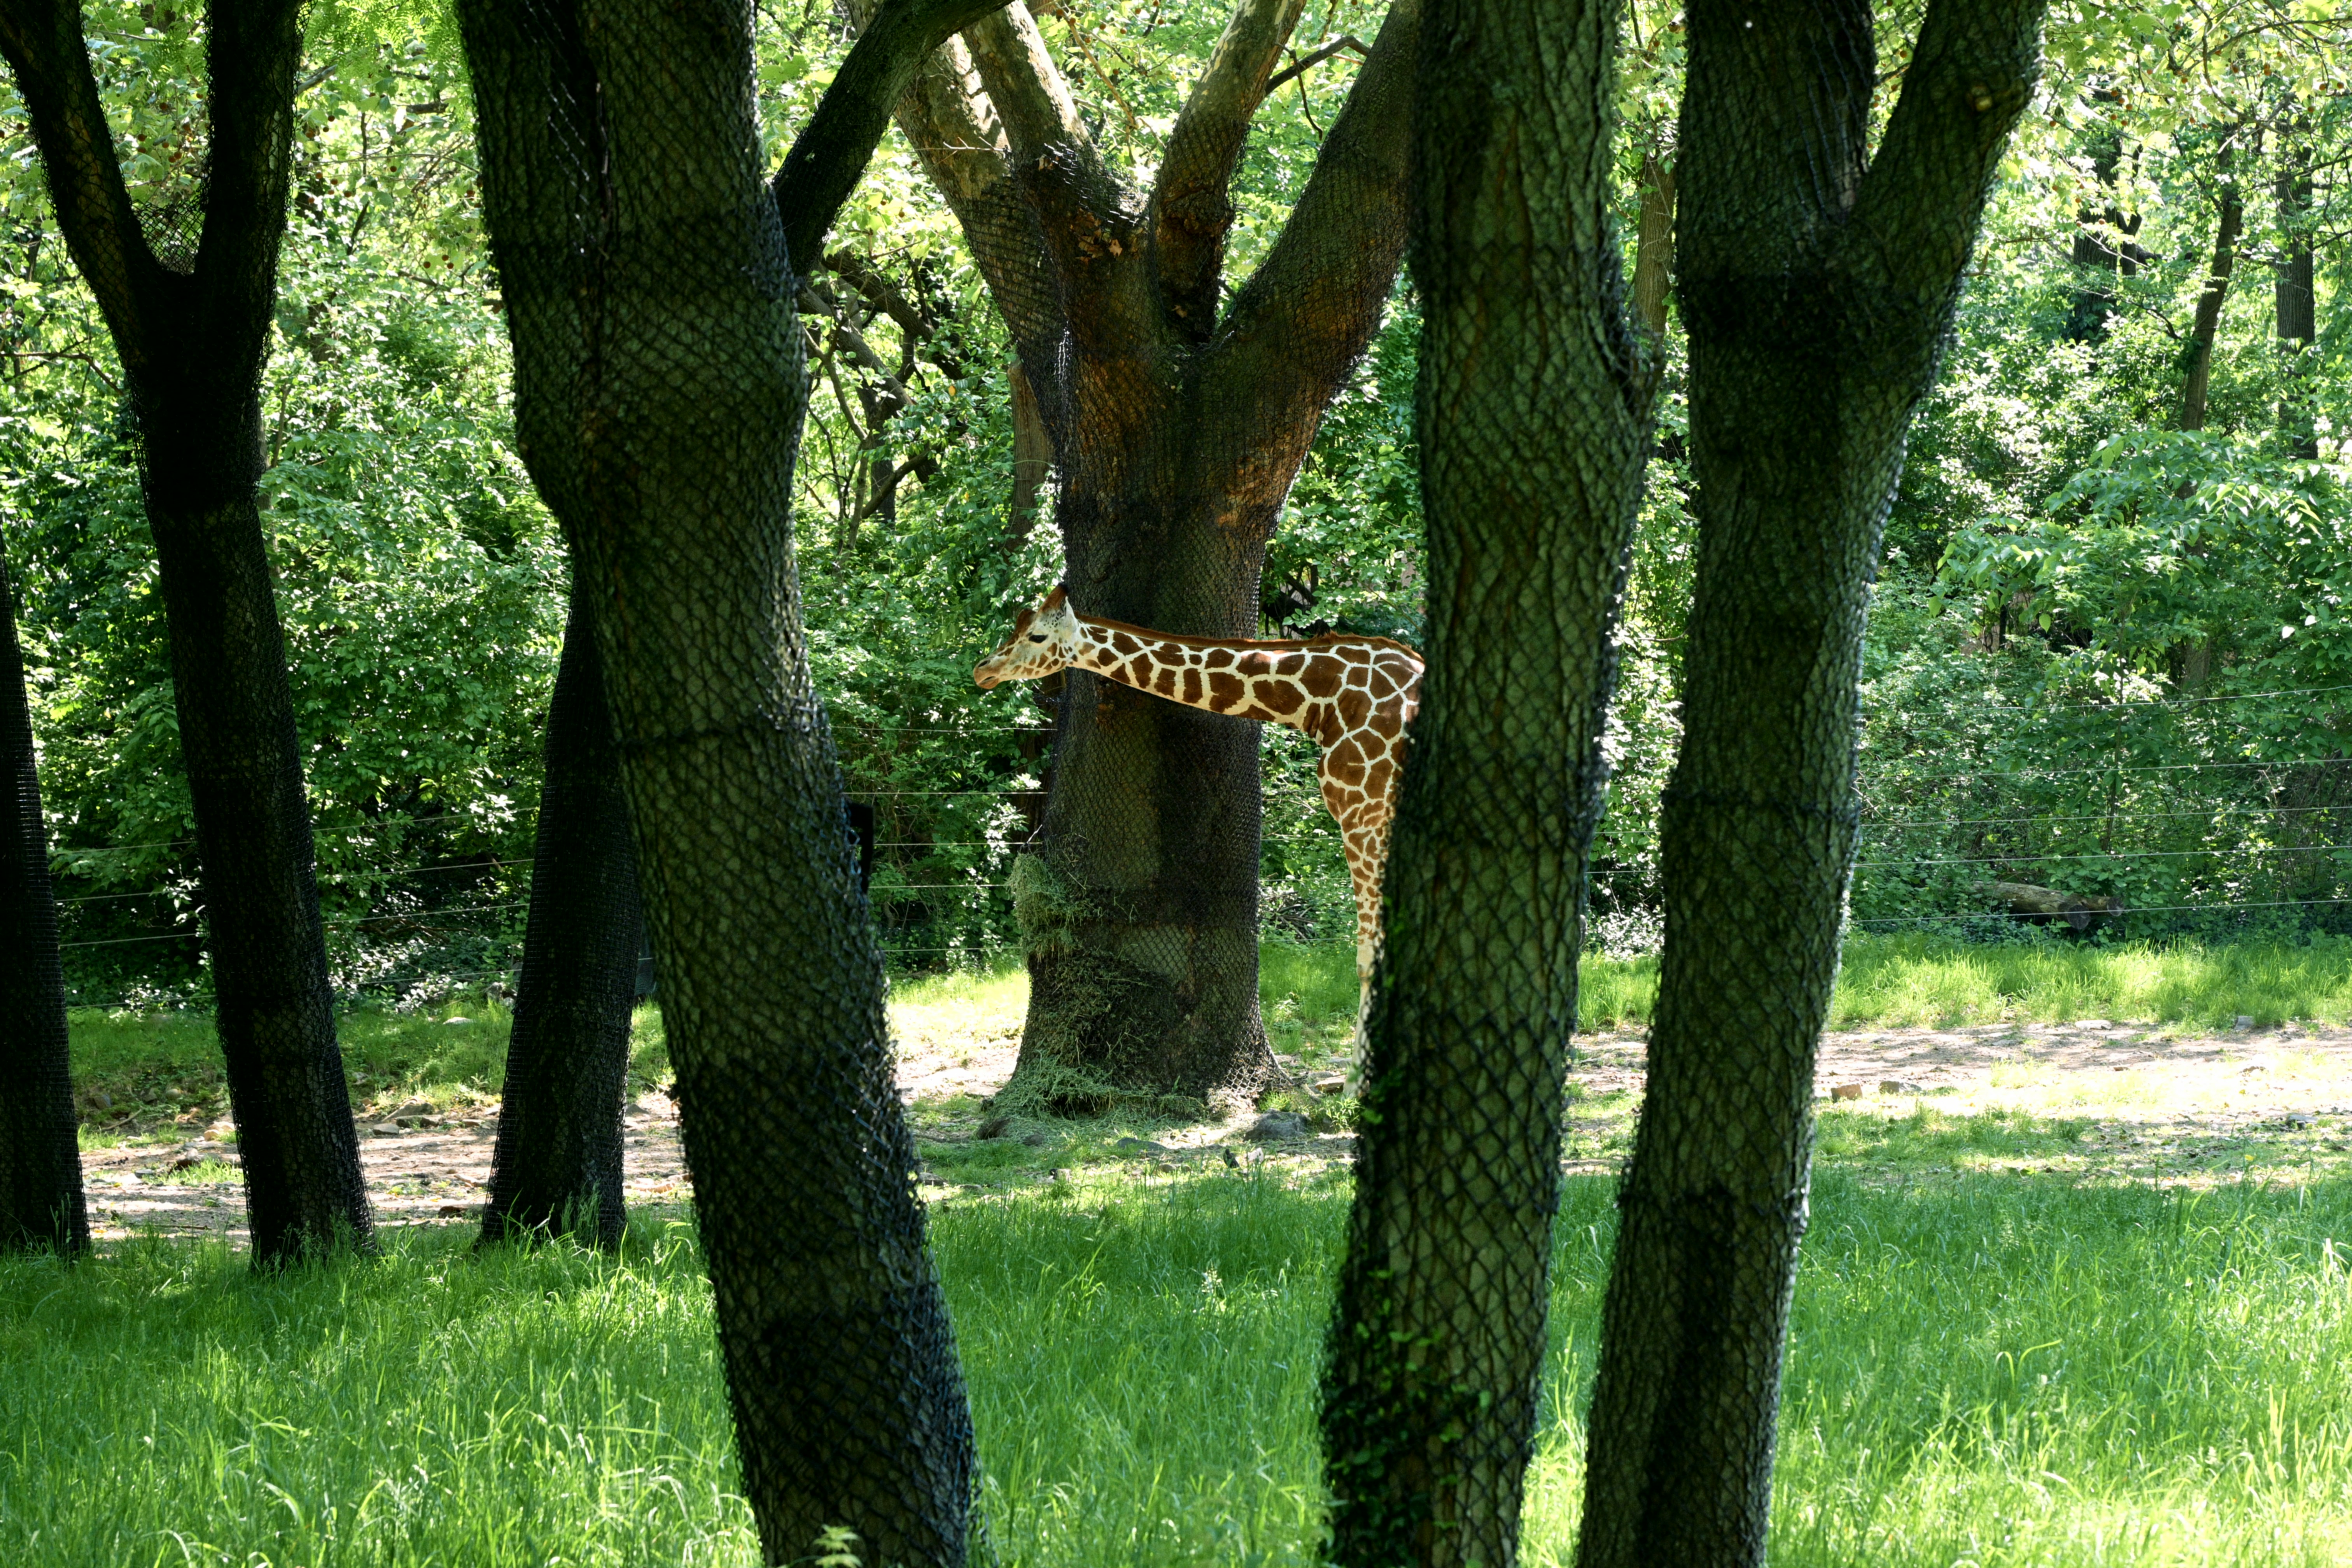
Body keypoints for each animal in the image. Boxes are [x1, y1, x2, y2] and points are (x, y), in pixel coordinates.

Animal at [975, 586, 1421, 1079]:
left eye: (1036, 635)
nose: (983, 670)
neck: (1320, 699)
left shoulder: (1364, 812)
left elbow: (1370, 957)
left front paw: (1358, 1083)